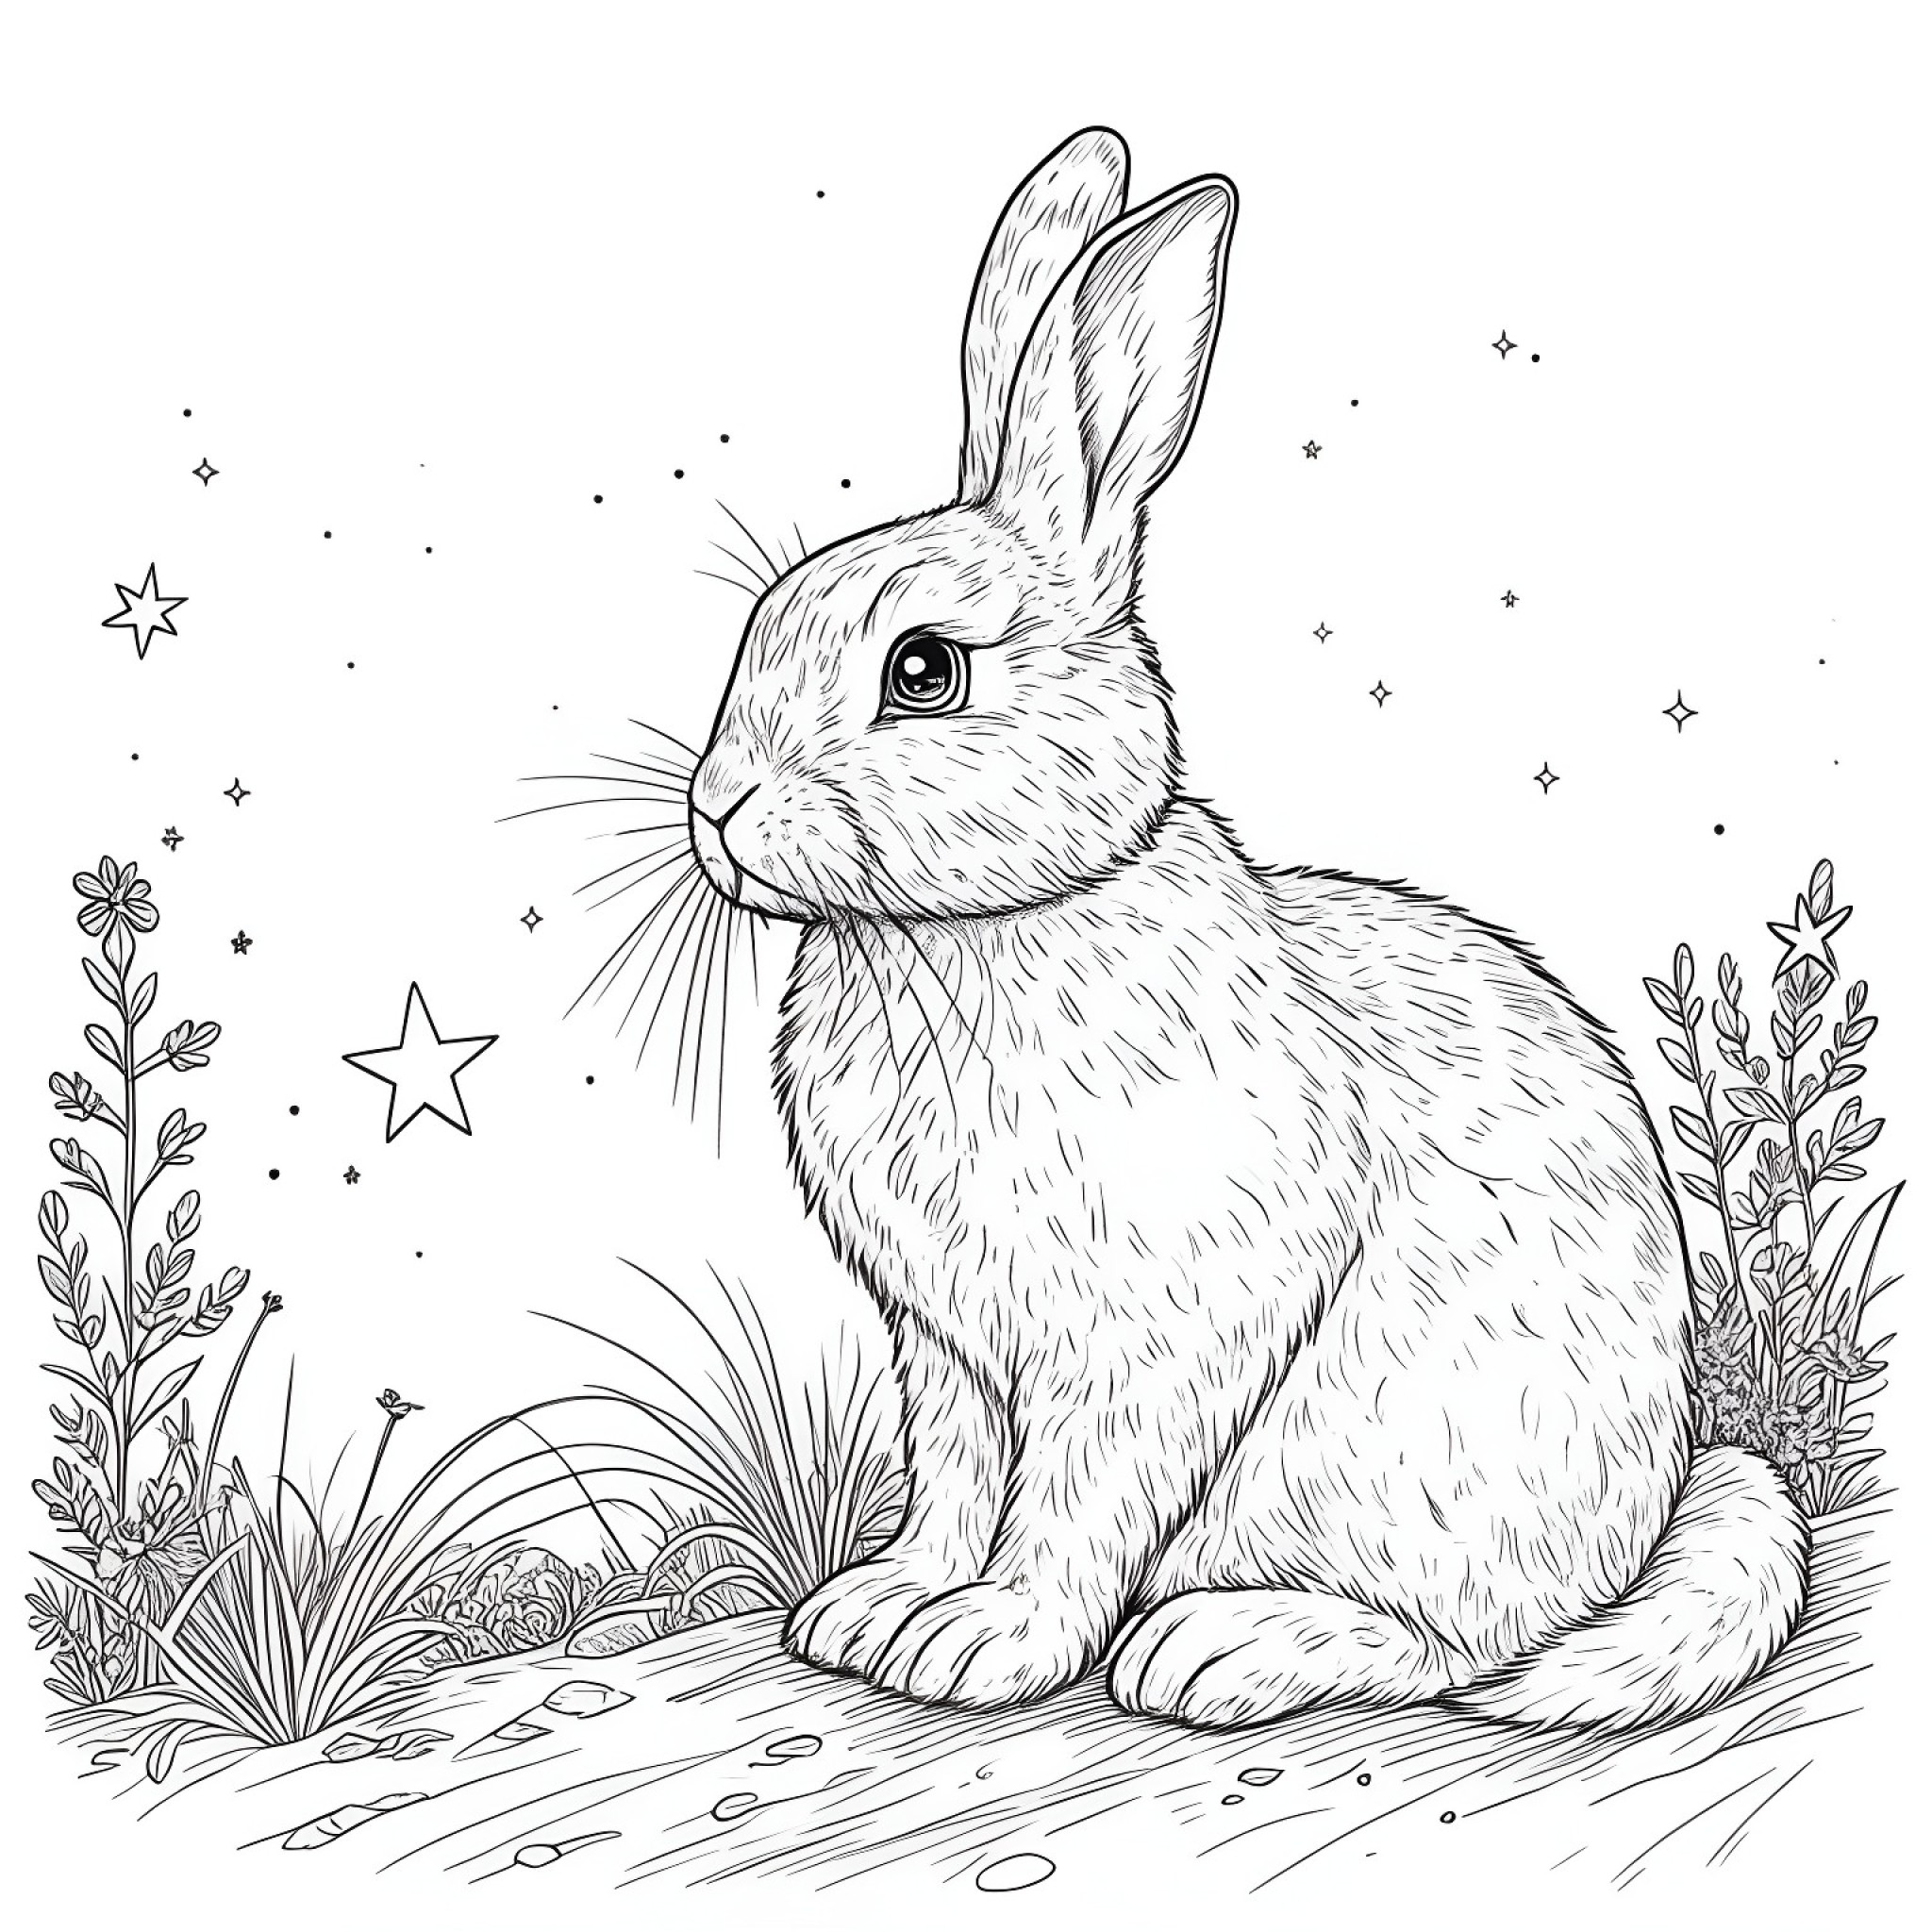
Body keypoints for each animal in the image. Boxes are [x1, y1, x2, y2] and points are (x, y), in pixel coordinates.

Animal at [682, 126, 1807, 1729]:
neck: (983, 925)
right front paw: (877, 1612)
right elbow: (953, 1486)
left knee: (1460, 1650)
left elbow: (1076, 1501)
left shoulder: (1153, 1332)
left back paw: (1219, 1649)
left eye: (923, 669)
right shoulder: (946, 1348)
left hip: (1413, 1469)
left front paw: (988, 1644)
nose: (717, 806)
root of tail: (1644, 1521)